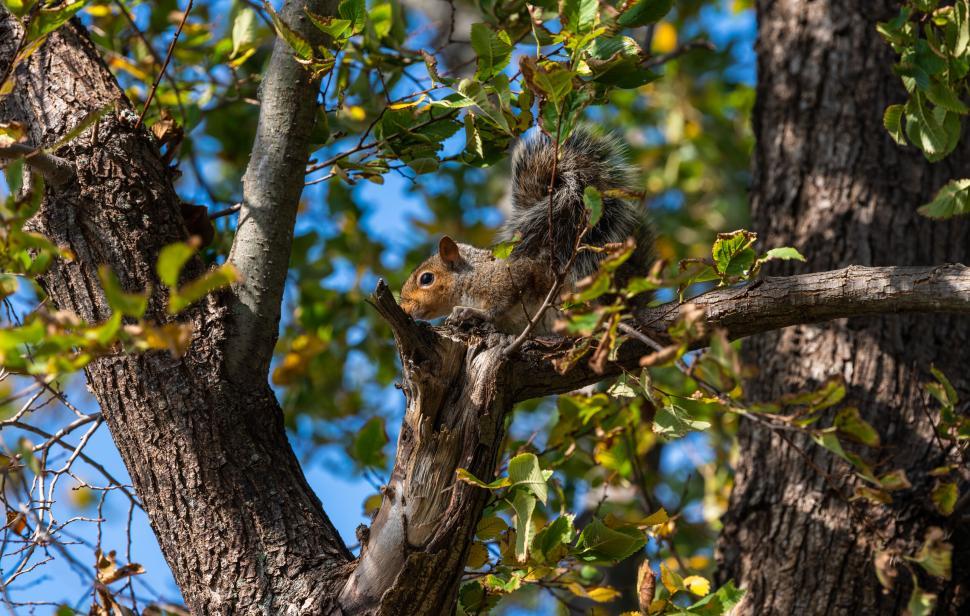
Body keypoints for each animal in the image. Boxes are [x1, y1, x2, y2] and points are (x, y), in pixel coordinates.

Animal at [399, 127, 653, 335]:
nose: (404, 308)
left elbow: (498, 307)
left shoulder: (507, 279)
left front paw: (470, 312)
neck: (471, 276)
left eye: (426, 279)